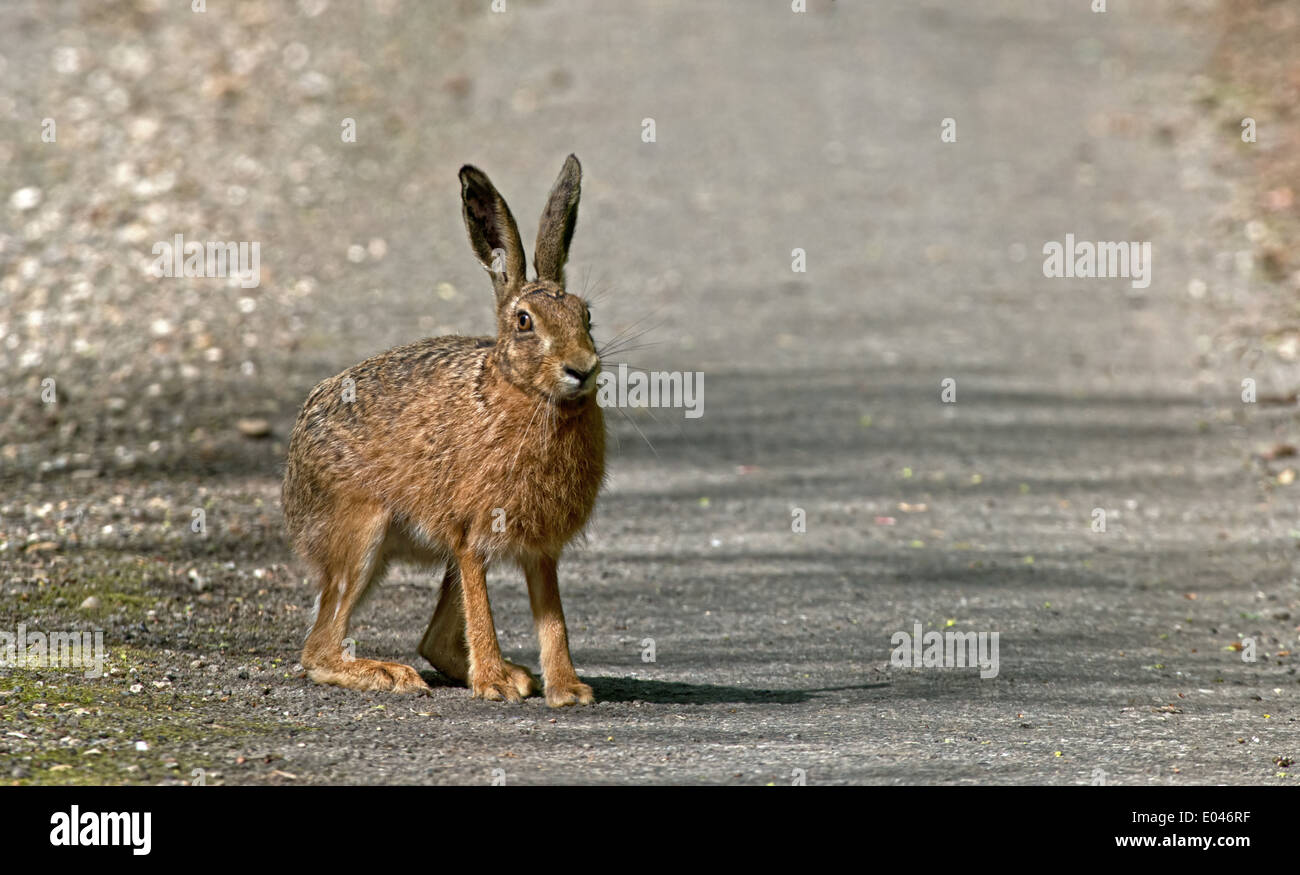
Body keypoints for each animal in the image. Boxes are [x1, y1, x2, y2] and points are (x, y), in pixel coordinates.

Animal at [282, 155, 604, 707]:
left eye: (587, 317)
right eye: (524, 321)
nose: (582, 369)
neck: (524, 394)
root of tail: (291, 483)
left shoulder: (540, 549)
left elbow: (553, 618)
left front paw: (567, 689)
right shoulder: (471, 534)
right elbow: (483, 608)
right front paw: (493, 685)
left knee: (431, 641)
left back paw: (518, 675)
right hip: (359, 532)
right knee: (319, 649)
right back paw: (391, 674)